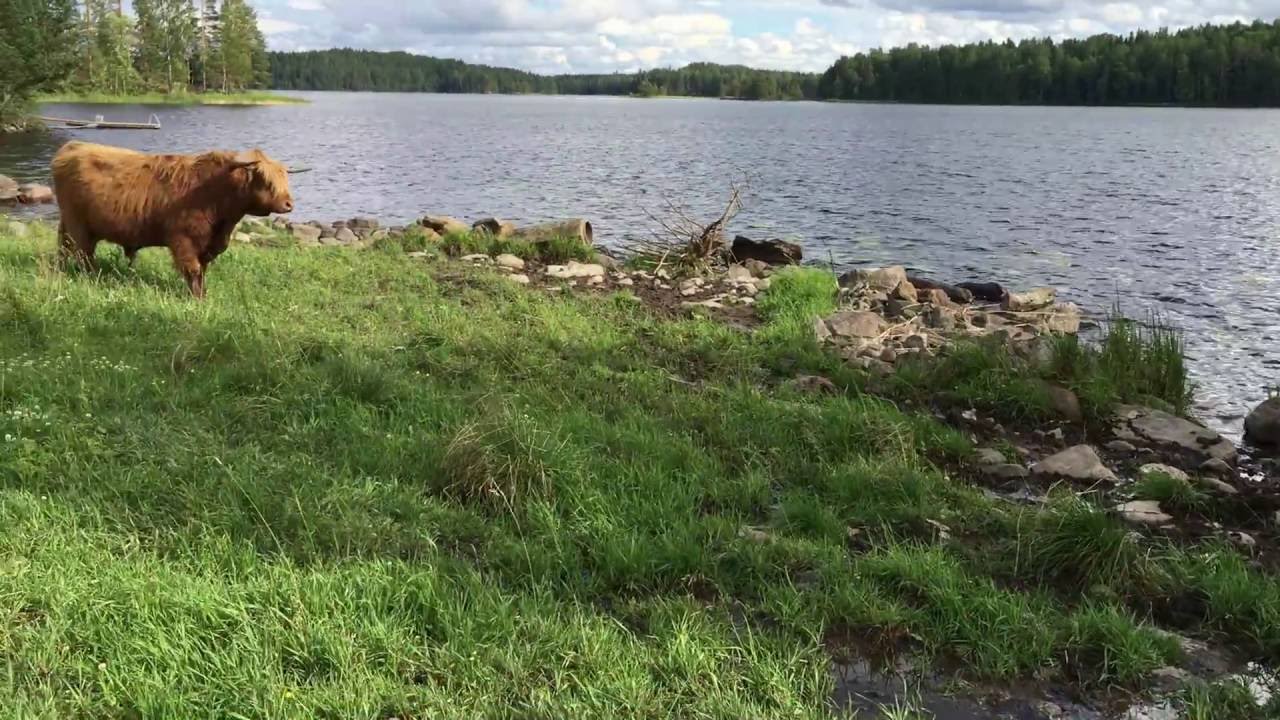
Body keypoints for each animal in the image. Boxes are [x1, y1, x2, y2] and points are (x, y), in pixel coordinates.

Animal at [51, 141, 295, 299]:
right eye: (264, 179)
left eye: (284, 178)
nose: (288, 204)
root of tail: (72, 147)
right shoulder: (183, 239)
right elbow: (193, 270)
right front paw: (195, 299)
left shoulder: (207, 244)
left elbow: (202, 271)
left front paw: (202, 294)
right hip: (78, 224)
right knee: (83, 253)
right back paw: (92, 279)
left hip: (69, 223)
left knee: (64, 247)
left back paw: (62, 271)